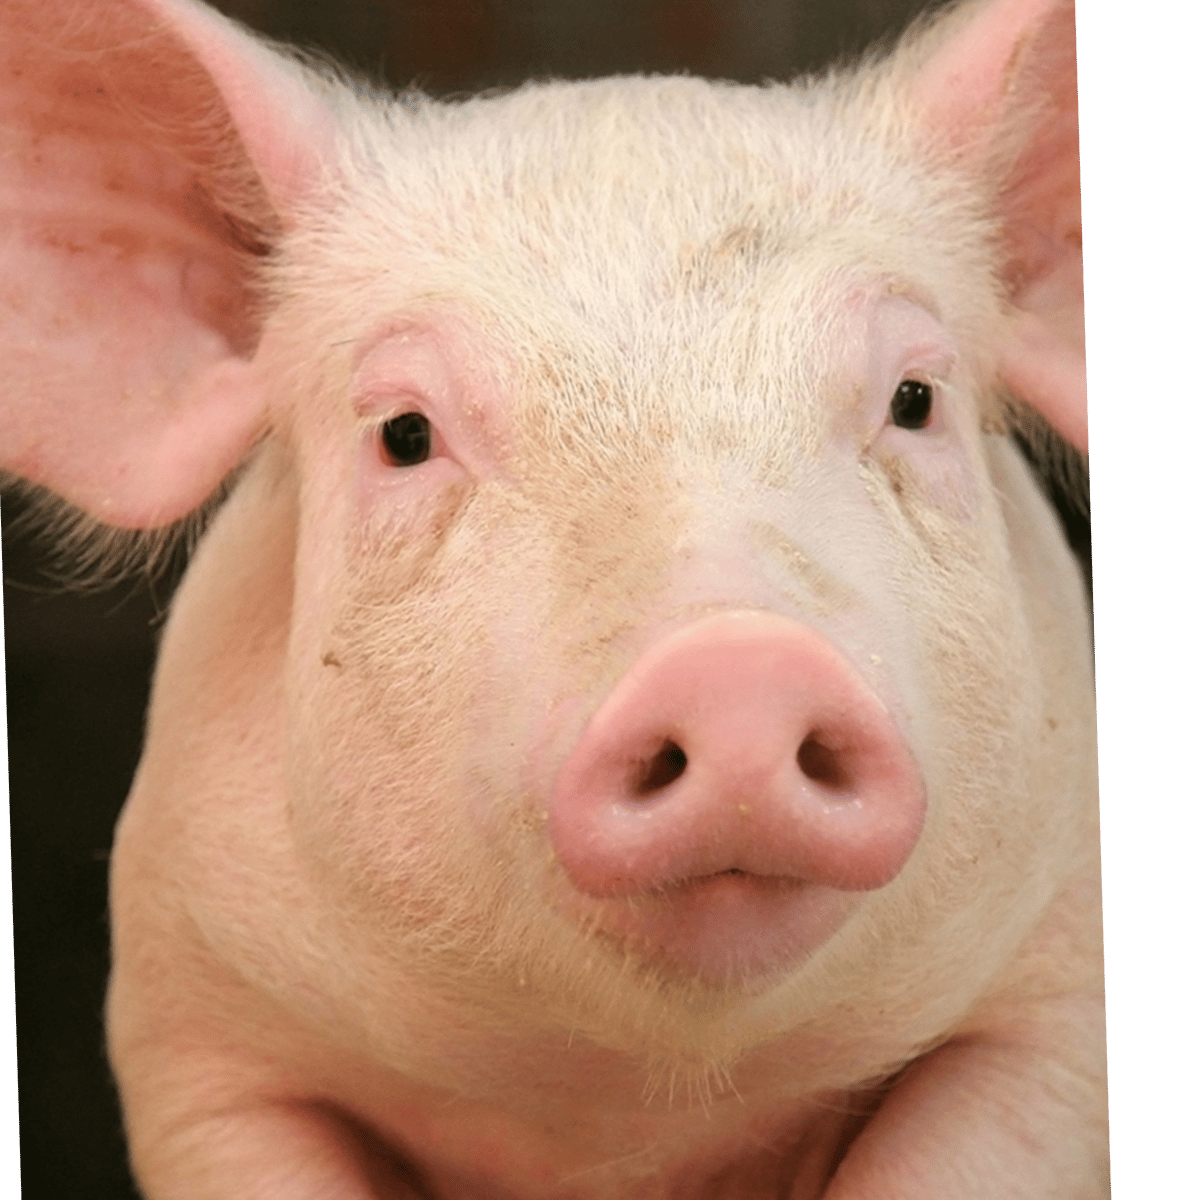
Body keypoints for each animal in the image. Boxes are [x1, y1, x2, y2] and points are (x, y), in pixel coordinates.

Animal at [0, 0, 1105, 1195]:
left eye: (914, 400)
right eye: (404, 434)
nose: (735, 663)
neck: (627, 1123)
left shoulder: (1054, 995)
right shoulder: (197, 1024)